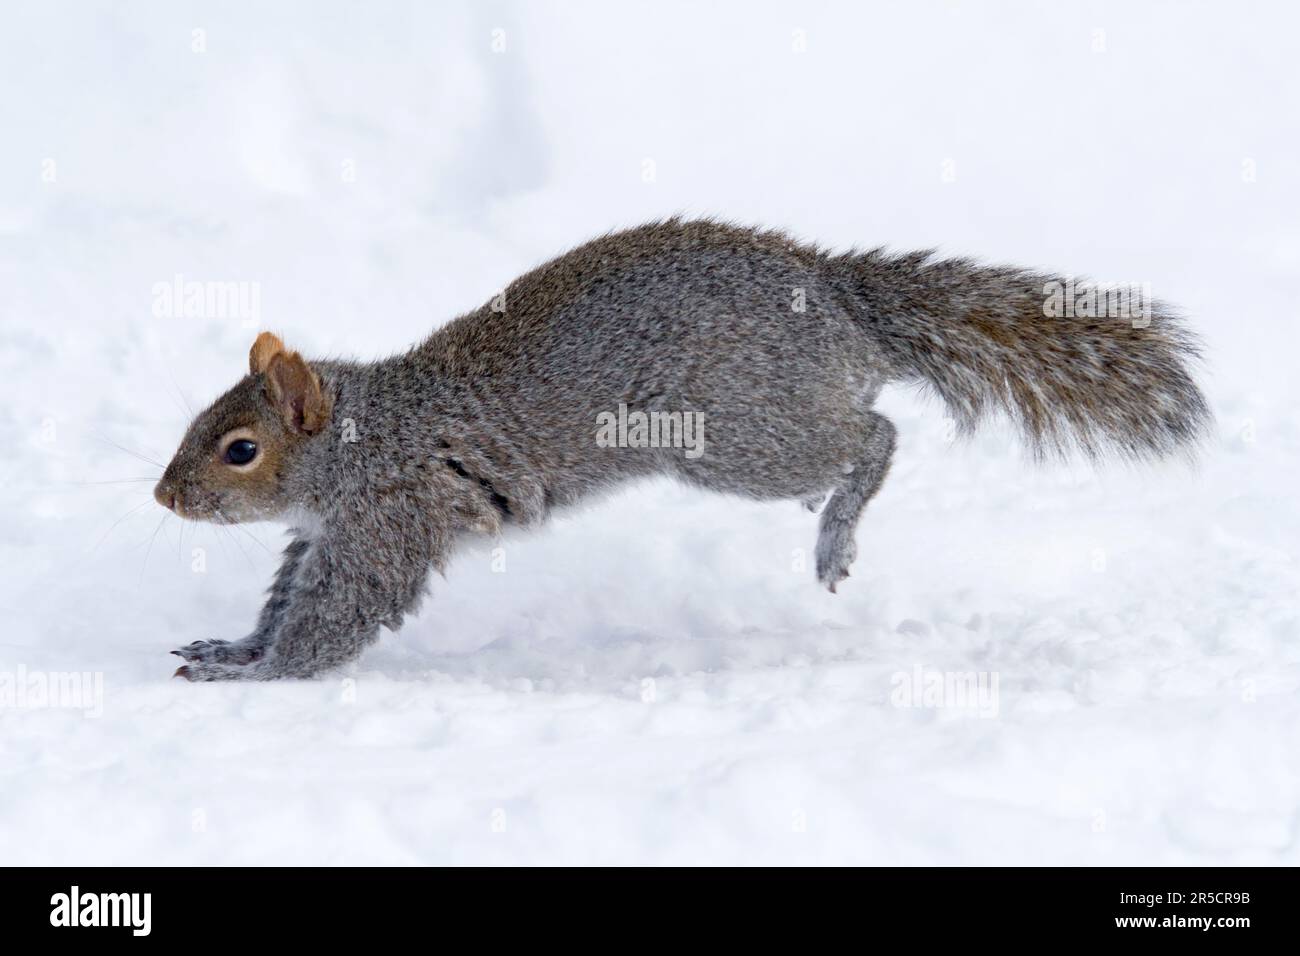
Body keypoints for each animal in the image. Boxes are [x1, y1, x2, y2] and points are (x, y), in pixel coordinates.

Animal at [158, 217, 1211, 681]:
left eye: (239, 449)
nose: (165, 499)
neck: (364, 435)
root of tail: (839, 298)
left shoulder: (391, 513)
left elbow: (336, 617)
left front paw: (250, 676)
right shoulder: (326, 530)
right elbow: (287, 598)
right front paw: (234, 642)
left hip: (735, 434)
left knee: (874, 433)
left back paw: (837, 529)